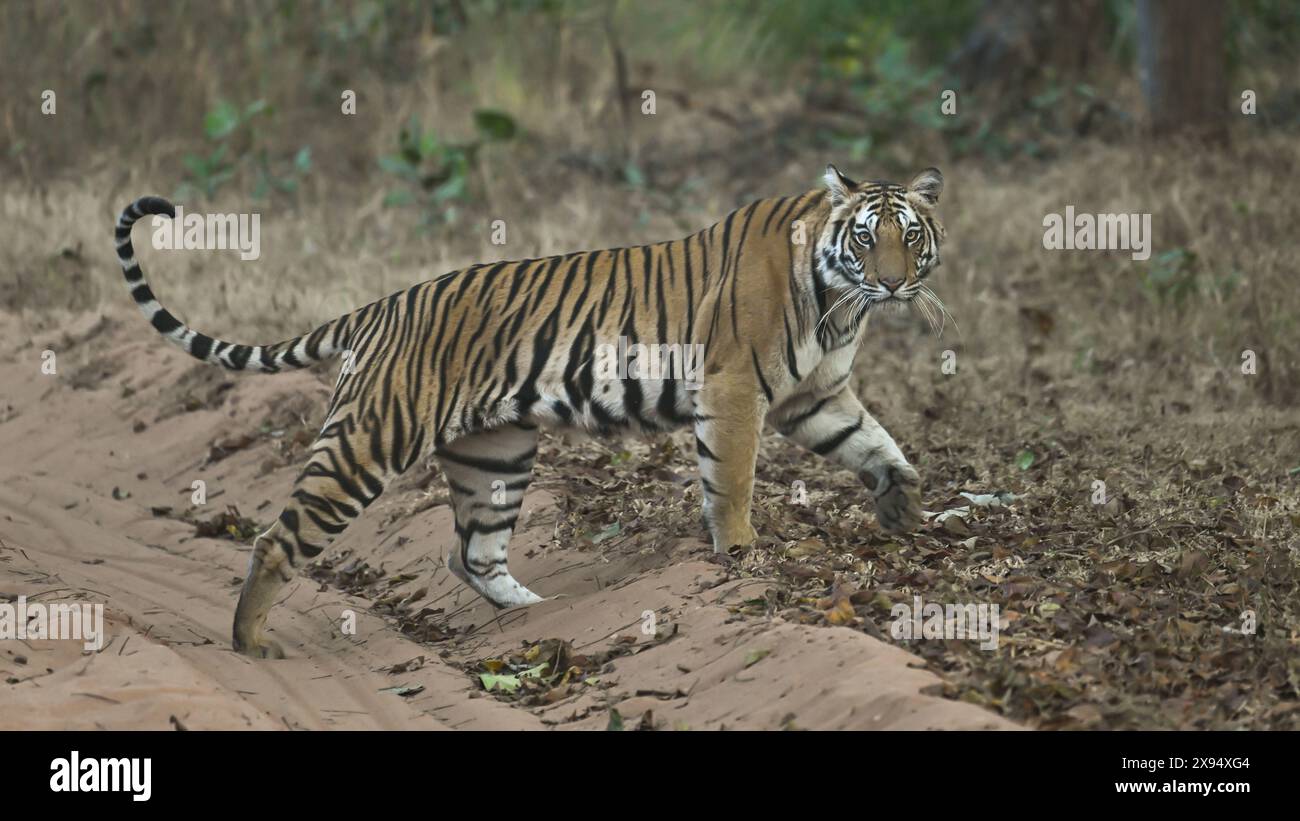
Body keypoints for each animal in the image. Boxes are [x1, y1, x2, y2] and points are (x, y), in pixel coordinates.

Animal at [113, 164, 946, 658]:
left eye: (912, 238)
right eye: (866, 238)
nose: (894, 283)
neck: (841, 303)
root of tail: (381, 305)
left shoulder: (816, 396)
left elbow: (875, 443)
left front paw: (907, 507)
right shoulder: (735, 386)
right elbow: (733, 479)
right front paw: (740, 551)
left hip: (497, 453)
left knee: (472, 552)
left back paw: (536, 611)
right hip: (368, 440)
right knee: (278, 538)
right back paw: (249, 642)